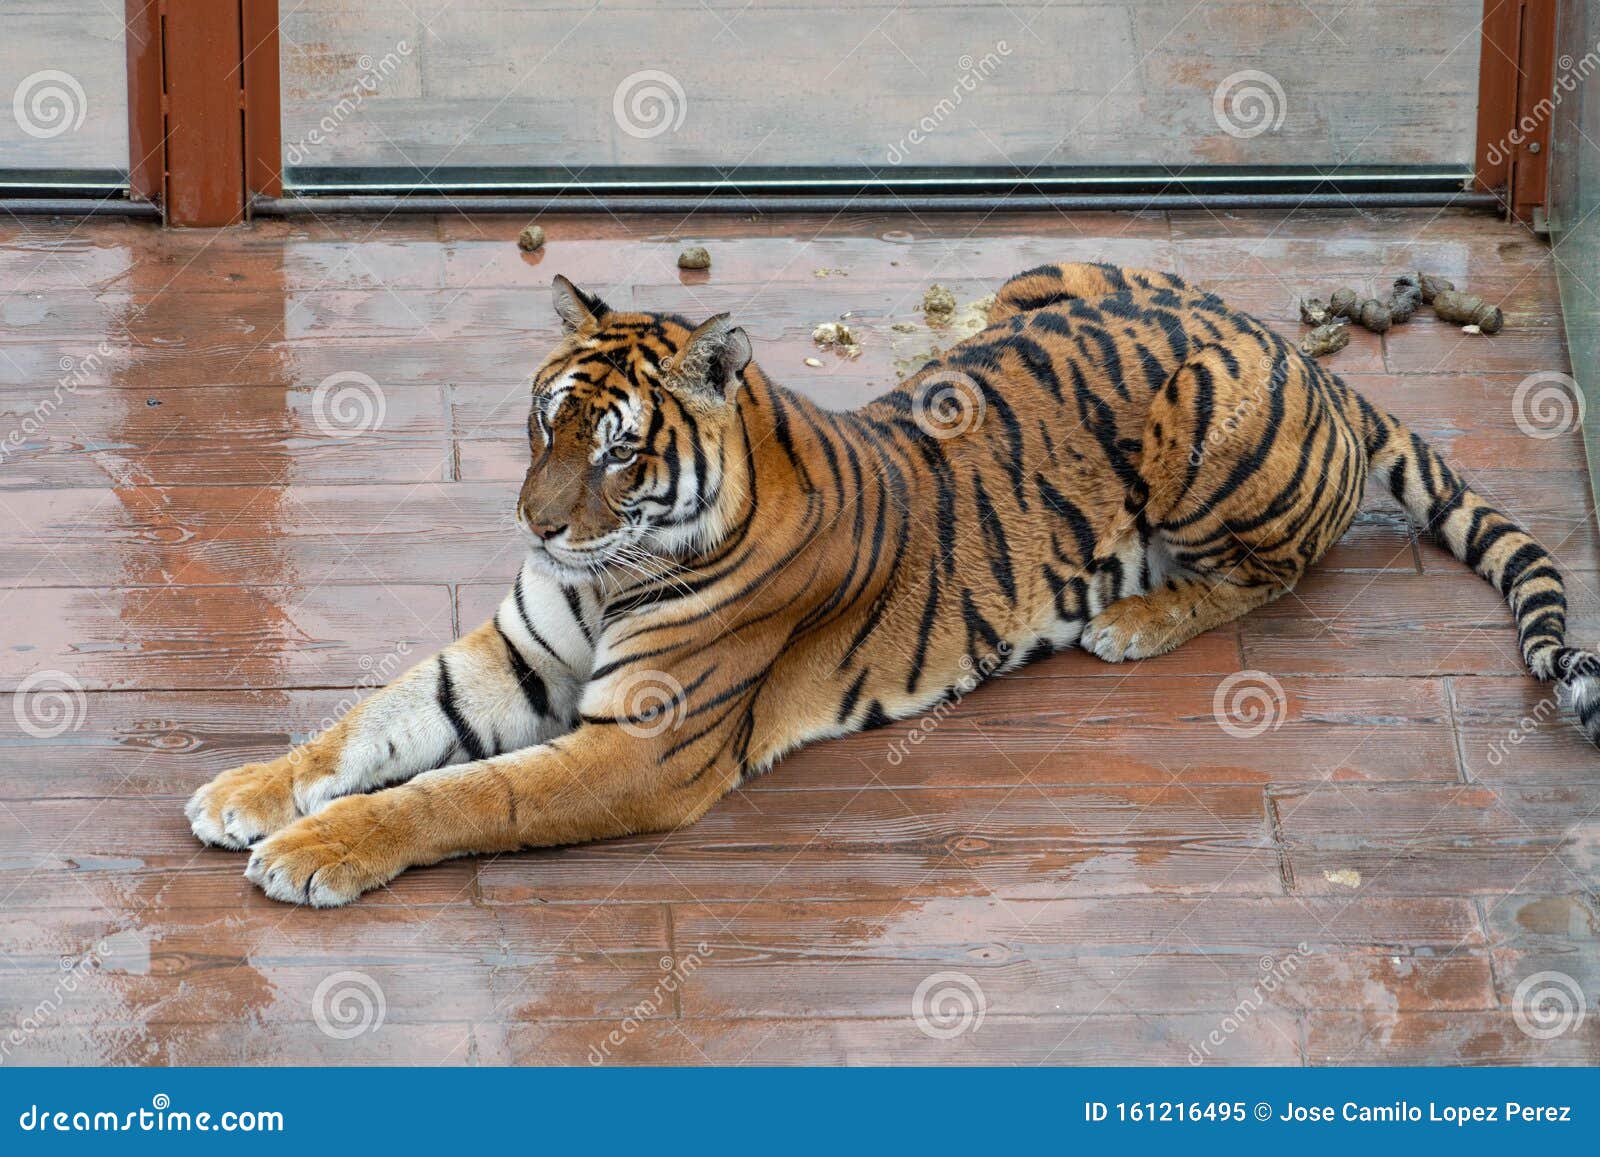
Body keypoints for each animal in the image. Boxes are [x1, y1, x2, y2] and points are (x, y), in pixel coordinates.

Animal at [185, 261, 1600, 906]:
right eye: (545, 421)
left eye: (619, 449)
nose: (531, 523)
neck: (606, 572)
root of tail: (1267, 326)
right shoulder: (514, 652)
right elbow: (366, 722)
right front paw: (246, 793)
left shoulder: (640, 745)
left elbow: (466, 793)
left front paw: (313, 850)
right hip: (1047, 275)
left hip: (1212, 416)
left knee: (1283, 566)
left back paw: (1137, 617)